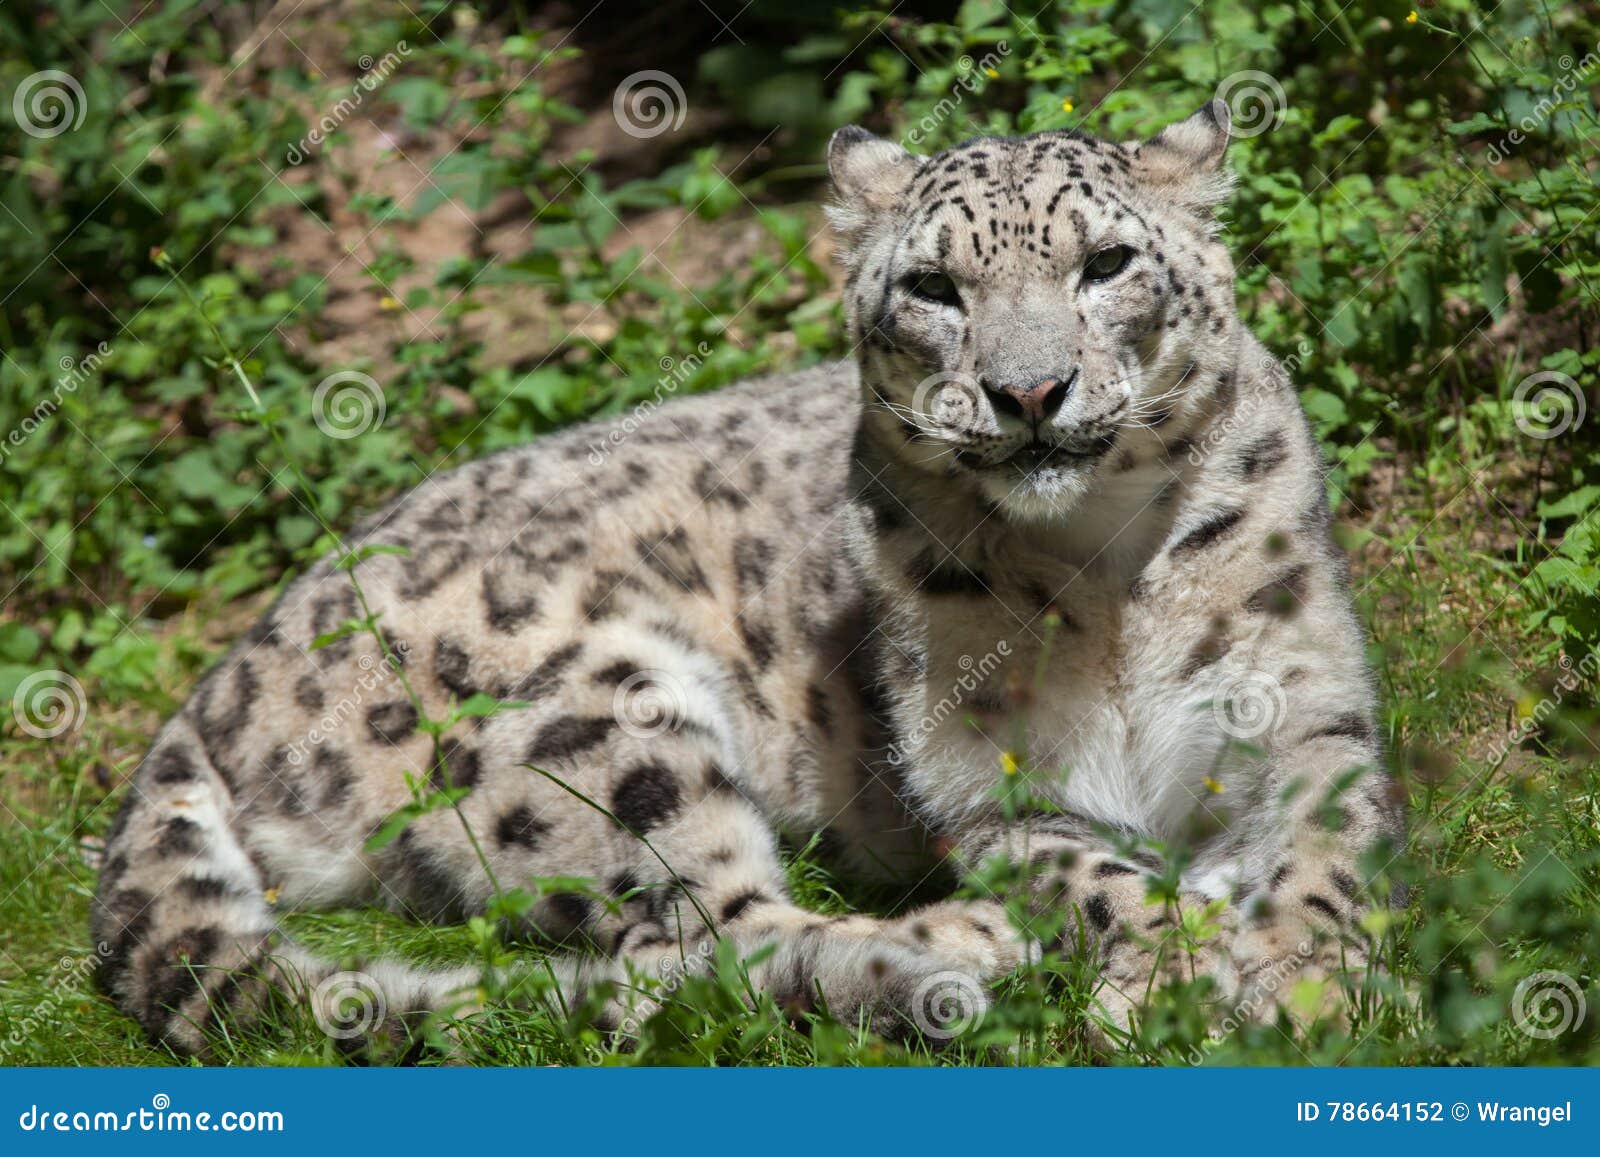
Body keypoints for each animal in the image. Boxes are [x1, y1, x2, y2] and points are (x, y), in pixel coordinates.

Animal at [92, 99, 1403, 1059]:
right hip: (591, 721)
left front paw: (1294, 968)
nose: (1027, 392)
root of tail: (214, 687)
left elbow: (1331, 839)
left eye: (1109, 261)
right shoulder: (987, 787)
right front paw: (1183, 964)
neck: (1102, 570)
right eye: (934, 287)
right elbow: (1090, 874)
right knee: (709, 938)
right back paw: (953, 949)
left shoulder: (1311, 706)